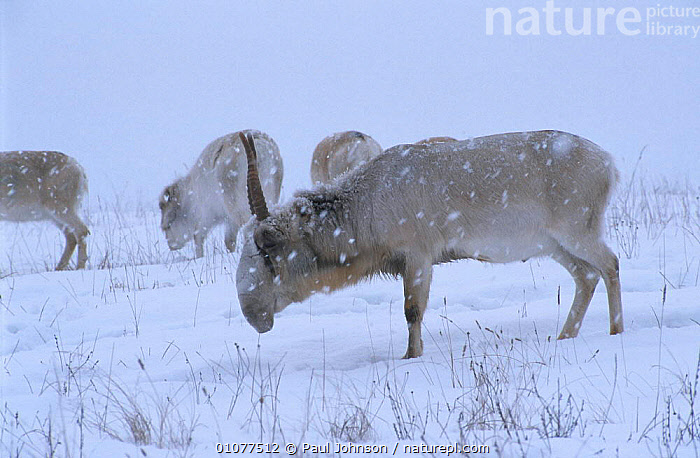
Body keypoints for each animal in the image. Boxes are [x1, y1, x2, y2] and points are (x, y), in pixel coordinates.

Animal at [159, 130, 283, 258]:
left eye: (168, 225)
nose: (171, 246)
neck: (188, 198)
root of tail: (261, 148)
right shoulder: (229, 221)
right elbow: (229, 241)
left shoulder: (206, 215)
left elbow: (199, 238)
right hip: (270, 195)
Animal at [236, 130, 622, 359]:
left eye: (269, 248)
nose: (253, 315)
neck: (365, 200)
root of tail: (608, 163)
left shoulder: (418, 257)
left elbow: (412, 310)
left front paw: (412, 356)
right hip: (554, 245)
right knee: (586, 277)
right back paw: (564, 336)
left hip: (578, 233)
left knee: (610, 265)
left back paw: (615, 331)